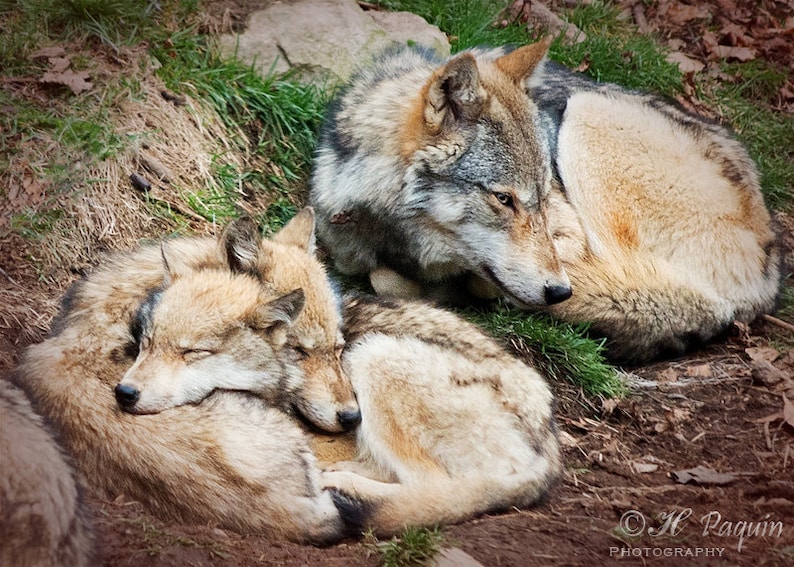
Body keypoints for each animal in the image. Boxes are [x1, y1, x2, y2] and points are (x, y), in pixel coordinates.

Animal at [310, 39, 782, 363]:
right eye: (504, 199)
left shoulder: (566, 238)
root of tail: (771, 267)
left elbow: (396, 282)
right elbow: (379, 275)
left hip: (587, 115)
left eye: (540, 195)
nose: (558, 291)